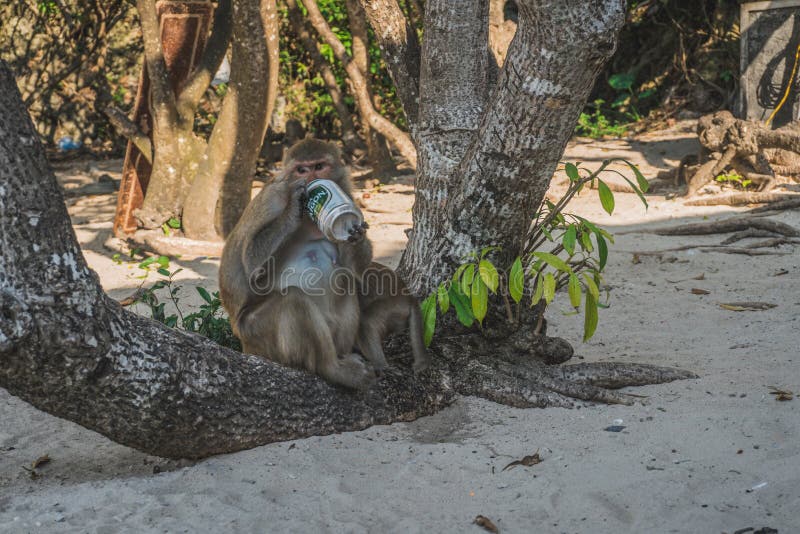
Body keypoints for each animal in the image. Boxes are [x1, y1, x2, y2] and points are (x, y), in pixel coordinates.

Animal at [219, 138, 374, 389]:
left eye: (319, 166)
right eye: (301, 169)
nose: (311, 180)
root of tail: (244, 344)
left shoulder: (347, 194)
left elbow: (355, 268)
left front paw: (356, 232)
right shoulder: (272, 198)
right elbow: (251, 262)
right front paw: (294, 205)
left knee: (346, 281)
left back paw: (342, 358)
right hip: (256, 334)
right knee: (293, 299)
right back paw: (333, 369)